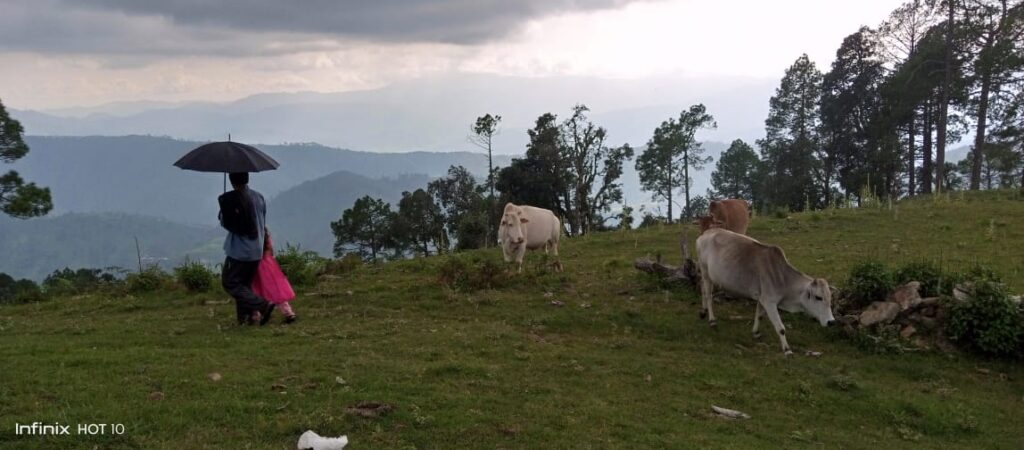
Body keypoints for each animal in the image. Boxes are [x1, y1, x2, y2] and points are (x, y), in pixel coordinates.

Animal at [696, 228, 836, 355]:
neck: (783, 279)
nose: (831, 322)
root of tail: (706, 232)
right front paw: (787, 350)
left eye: (830, 299)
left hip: (706, 275)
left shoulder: (762, 298)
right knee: (708, 295)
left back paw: (703, 311)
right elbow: (781, 328)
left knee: (702, 287)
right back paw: (712, 320)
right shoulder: (770, 302)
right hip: (706, 272)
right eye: (818, 297)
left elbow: (759, 315)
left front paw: (756, 332)